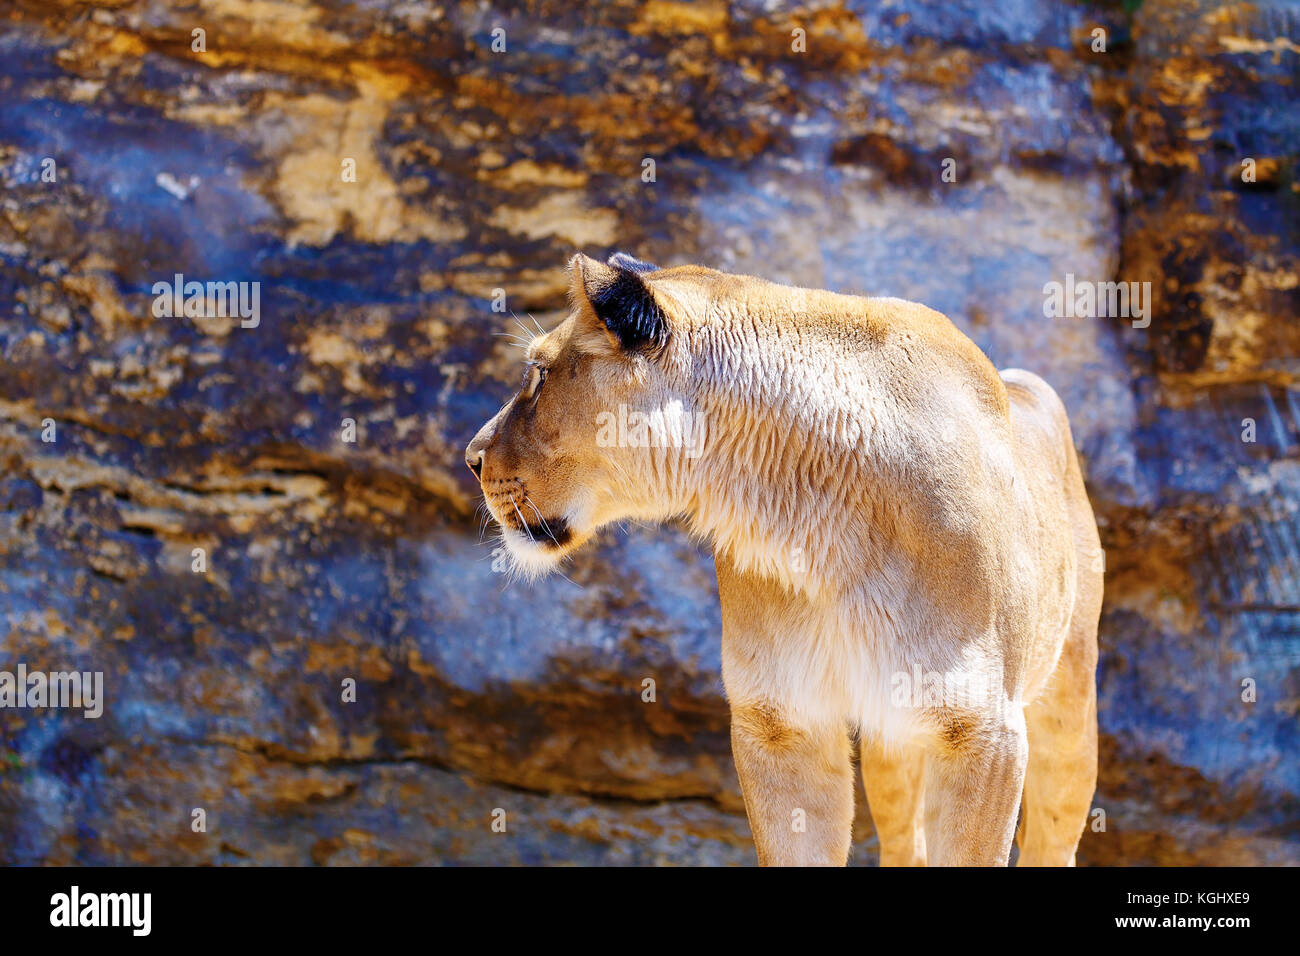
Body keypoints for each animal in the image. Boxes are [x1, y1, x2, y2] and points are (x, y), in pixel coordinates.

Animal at [465, 253, 1102, 866]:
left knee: (1054, 837)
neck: (823, 535)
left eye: (539, 374)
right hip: (893, 741)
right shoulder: (782, 722)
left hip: (1067, 704)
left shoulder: (982, 729)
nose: (471, 457)